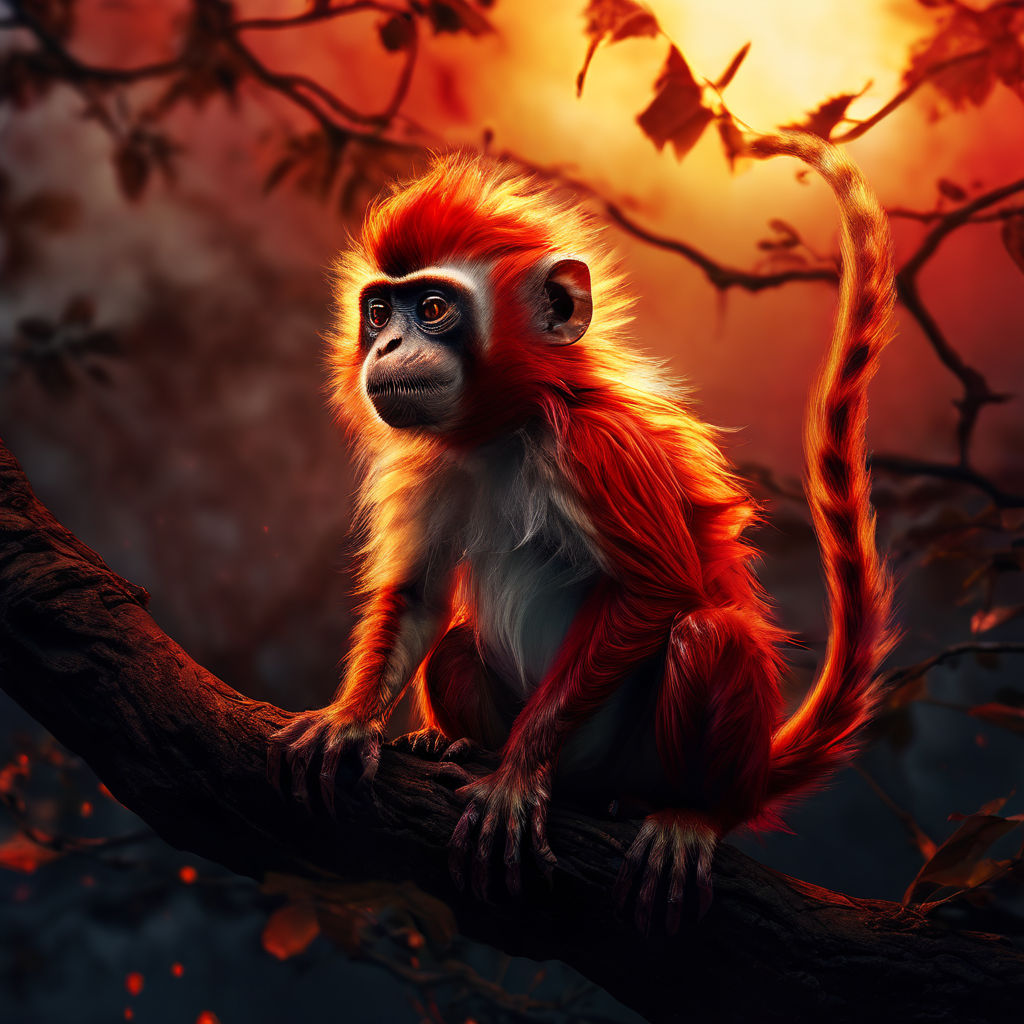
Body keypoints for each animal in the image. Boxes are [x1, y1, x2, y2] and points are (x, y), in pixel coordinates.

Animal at [269, 130, 895, 933]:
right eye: (378, 312)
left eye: (433, 307)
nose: (384, 349)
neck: (502, 433)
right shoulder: (435, 463)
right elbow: (418, 597)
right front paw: (350, 721)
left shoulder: (594, 448)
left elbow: (657, 590)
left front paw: (515, 776)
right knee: (458, 643)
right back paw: (455, 743)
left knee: (707, 635)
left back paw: (692, 812)